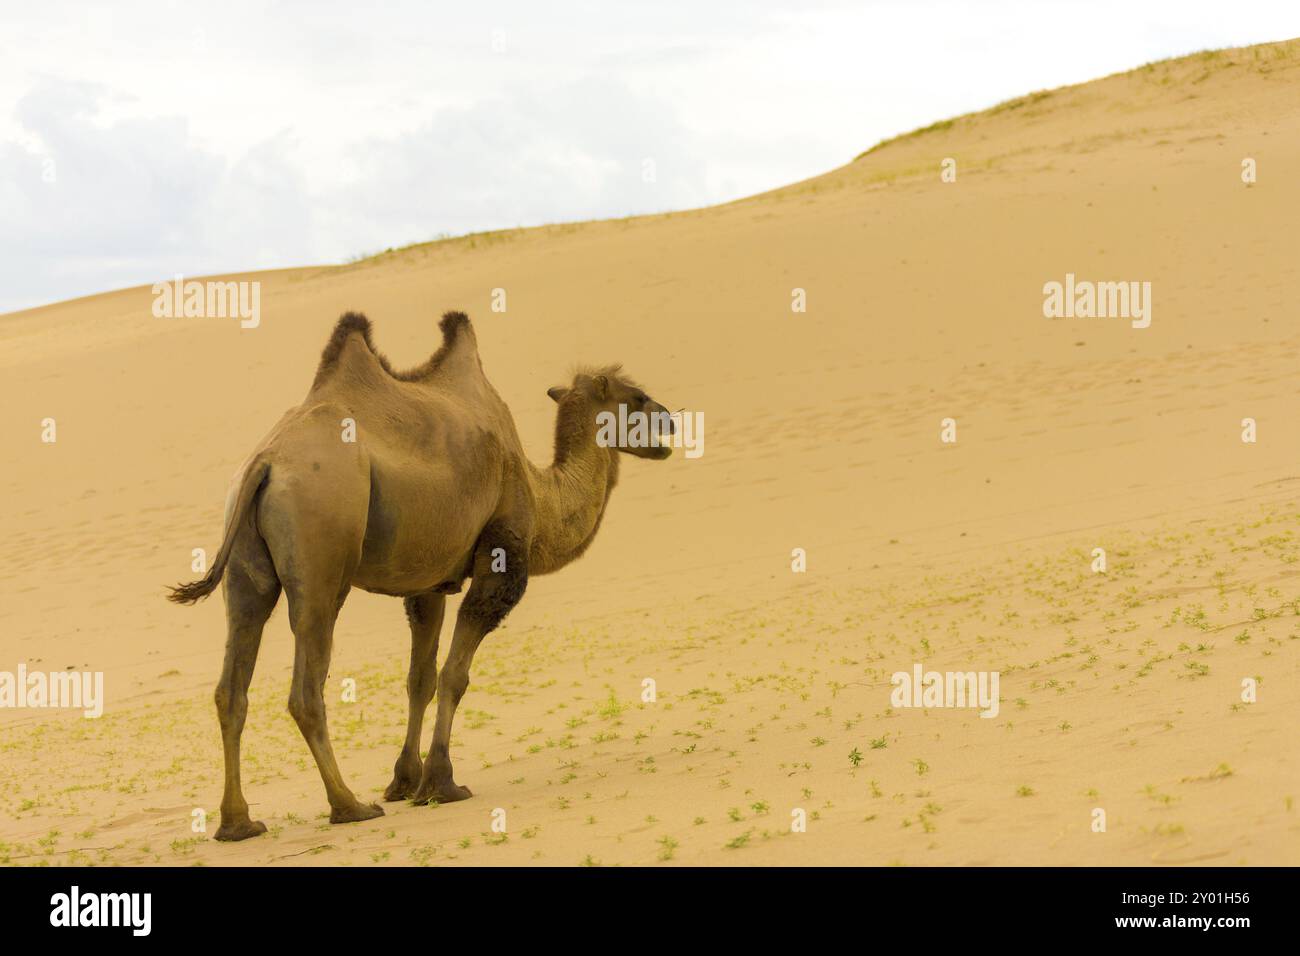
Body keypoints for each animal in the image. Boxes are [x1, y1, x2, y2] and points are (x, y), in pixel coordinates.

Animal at [168, 311, 674, 841]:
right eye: (637, 396)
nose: (673, 420)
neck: (541, 495)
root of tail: (265, 464)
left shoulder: (429, 583)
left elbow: (420, 678)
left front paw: (404, 781)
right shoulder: (501, 559)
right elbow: (455, 674)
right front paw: (441, 782)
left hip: (245, 565)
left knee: (232, 682)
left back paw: (238, 822)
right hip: (321, 549)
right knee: (306, 686)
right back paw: (349, 804)